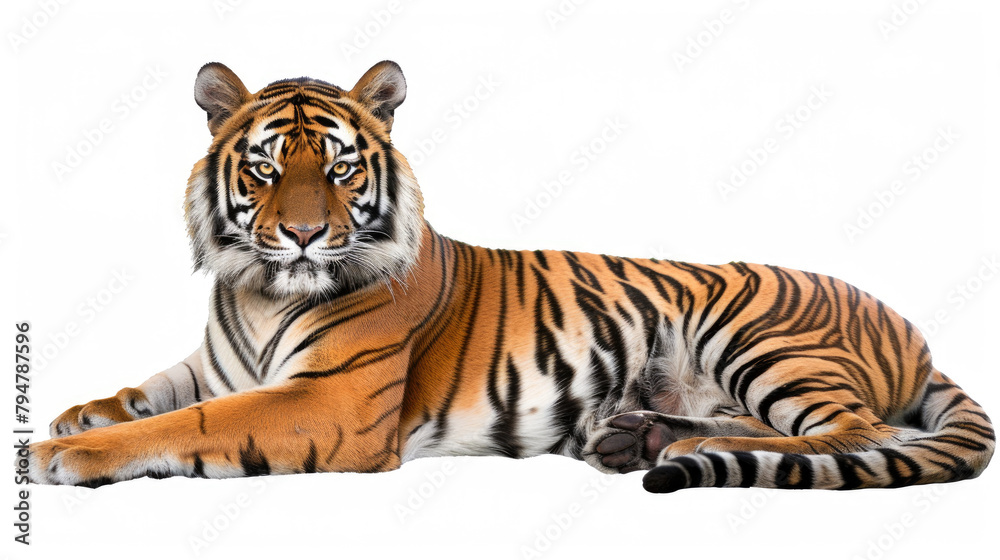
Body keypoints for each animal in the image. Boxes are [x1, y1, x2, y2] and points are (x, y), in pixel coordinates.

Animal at [25, 61, 994, 492]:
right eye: (265, 169)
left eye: (338, 169)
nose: (301, 236)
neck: (261, 293)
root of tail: (916, 329)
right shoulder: (219, 360)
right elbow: (157, 388)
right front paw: (82, 412)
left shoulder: (332, 402)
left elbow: (195, 420)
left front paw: (60, 451)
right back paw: (641, 438)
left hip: (761, 336)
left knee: (860, 434)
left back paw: (676, 452)